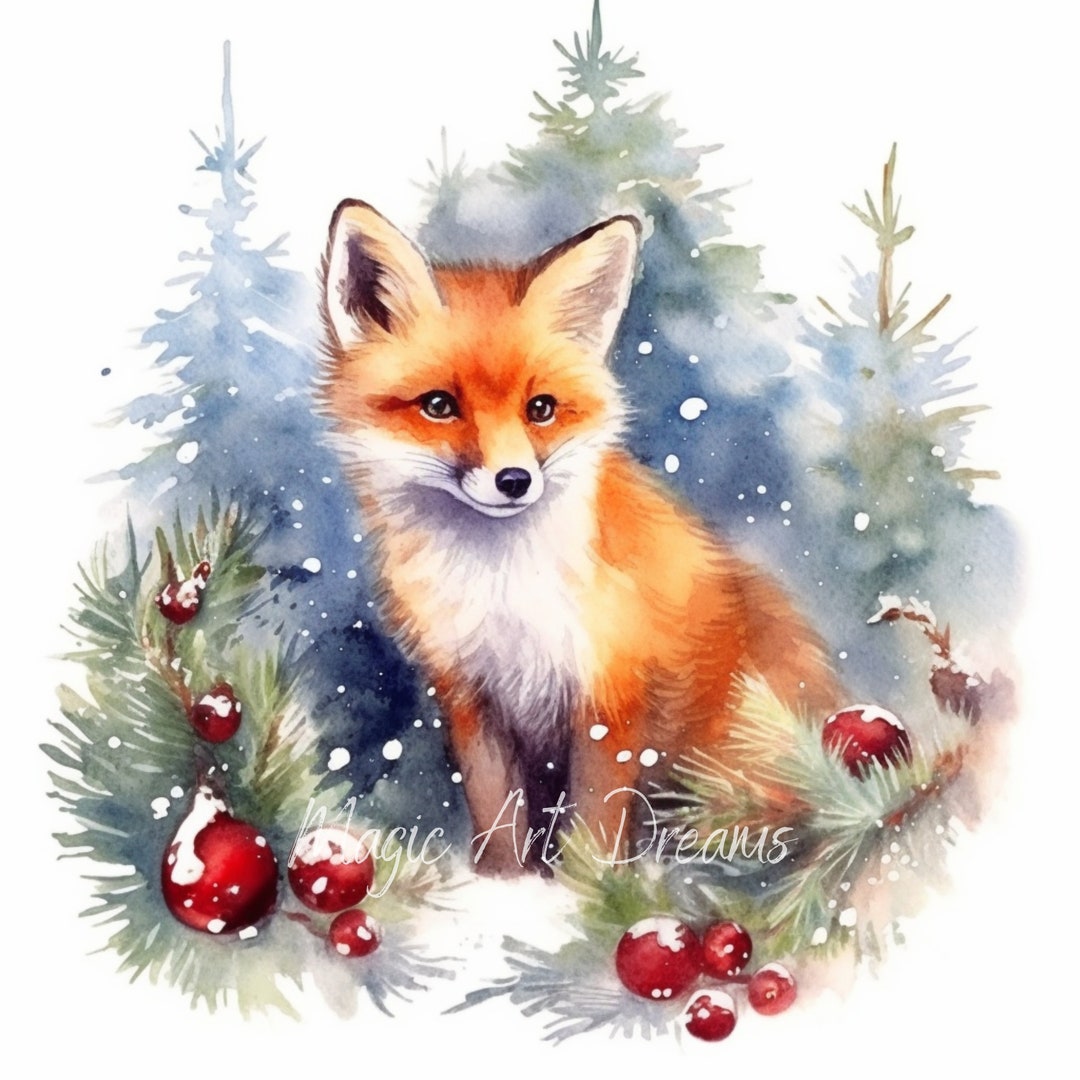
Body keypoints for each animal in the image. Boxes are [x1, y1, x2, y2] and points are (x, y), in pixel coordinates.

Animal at [319, 200, 838, 873]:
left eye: (540, 409)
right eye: (438, 406)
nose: (514, 481)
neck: (502, 586)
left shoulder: (608, 698)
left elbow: (594, 827)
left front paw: (588, 888)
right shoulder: (472, 698)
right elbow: (498, 821)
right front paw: (502, 888)